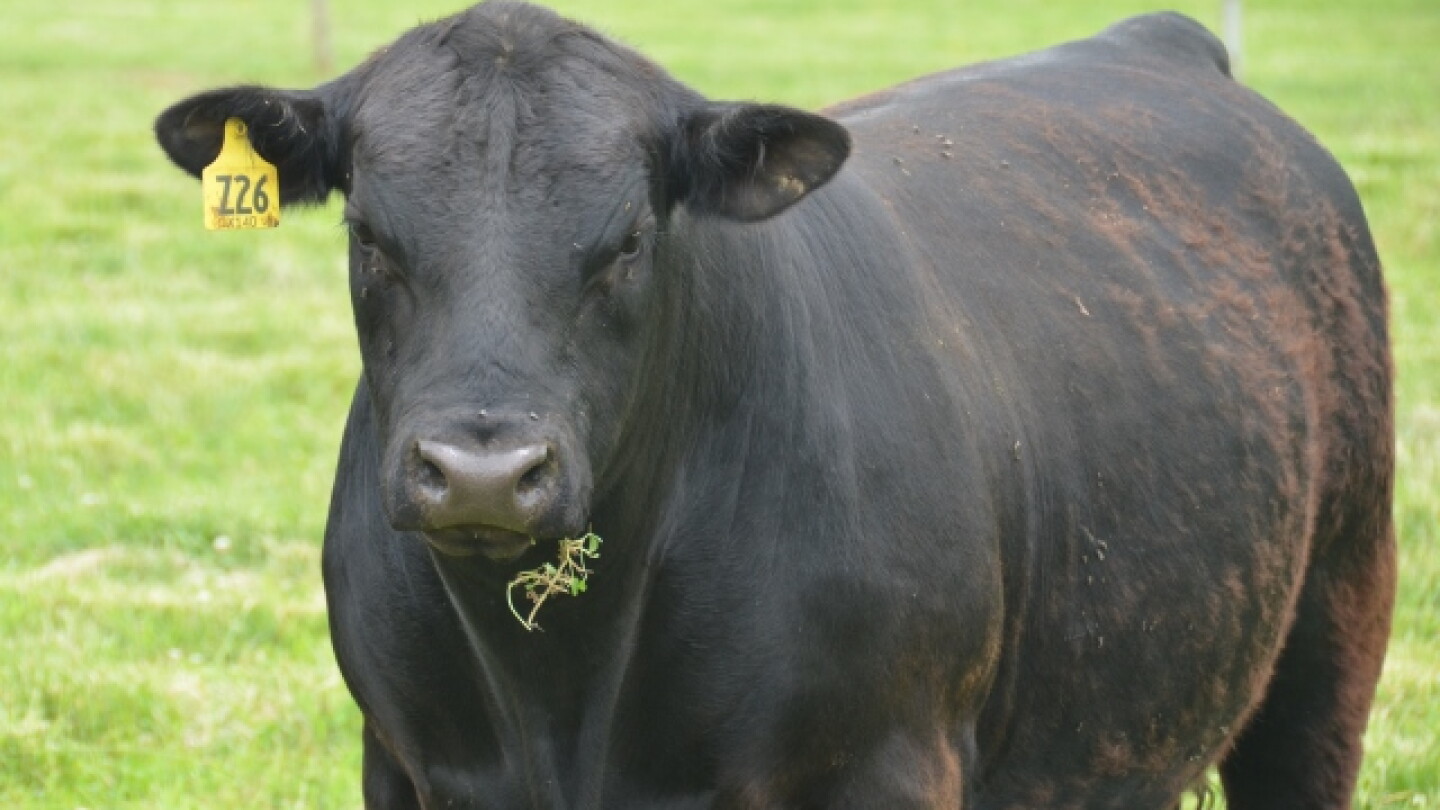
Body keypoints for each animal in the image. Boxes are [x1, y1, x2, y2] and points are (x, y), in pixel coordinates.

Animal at [154, 3, 1395, 807]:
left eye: (631, 238)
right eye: (369, 232)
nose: (482, 475)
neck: (560, 692)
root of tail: (1153, 35)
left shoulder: (887, 762)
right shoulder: (404, 759)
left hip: (1333, 626)